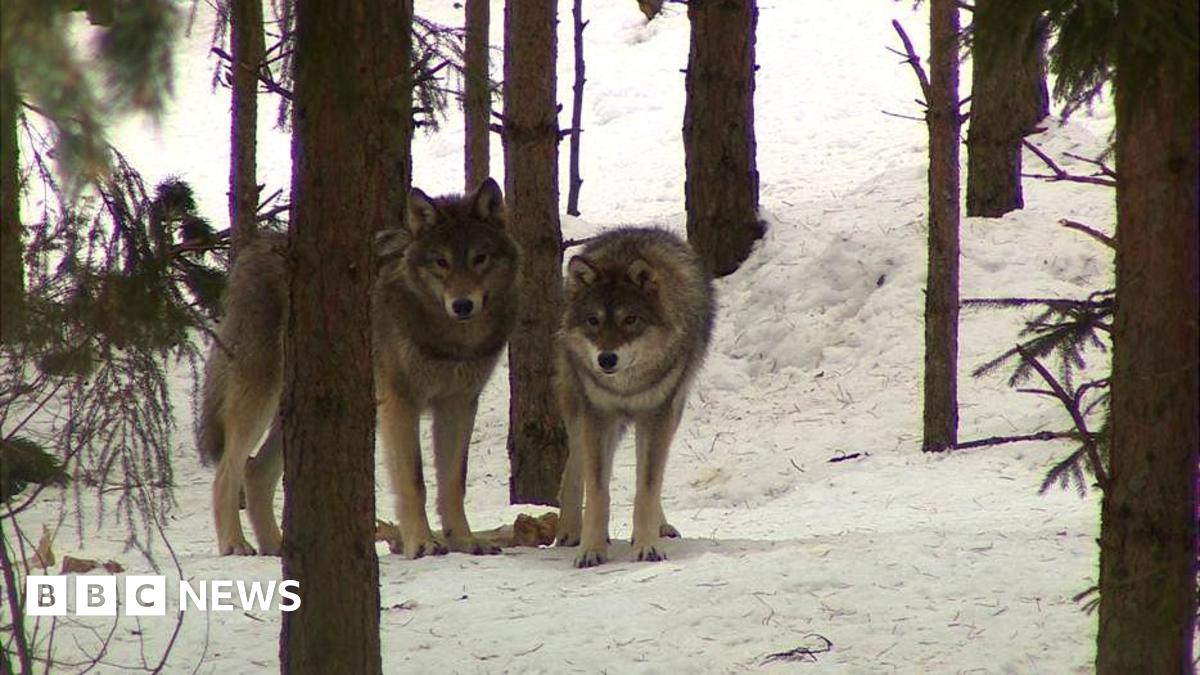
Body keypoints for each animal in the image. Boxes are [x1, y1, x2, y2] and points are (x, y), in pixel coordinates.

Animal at [198, 178, 518, 559]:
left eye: (479, 259)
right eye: (441, 262)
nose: (463, 305)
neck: (452, 340)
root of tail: (250, 251)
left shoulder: (459, 404)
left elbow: (454, 481)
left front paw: (465, 541)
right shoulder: (399, 402)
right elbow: (414, 480)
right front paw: (423, 543)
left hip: (299, 408)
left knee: (256, 471)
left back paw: (277, 547)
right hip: (259, 401)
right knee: (226, 472)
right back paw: (235, 544)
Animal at [553, 227, 714, 567]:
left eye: (630, 320)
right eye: (593, 320)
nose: (606, 359)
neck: (626, 387)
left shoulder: (656, 415)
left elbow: (648, 486)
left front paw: (647, 545)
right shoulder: (598, 415)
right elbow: (597, 490)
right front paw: (590, 549)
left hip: (670, 413)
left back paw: (660, 527)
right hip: (579, 409)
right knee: (575, 466)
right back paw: (570, 531)